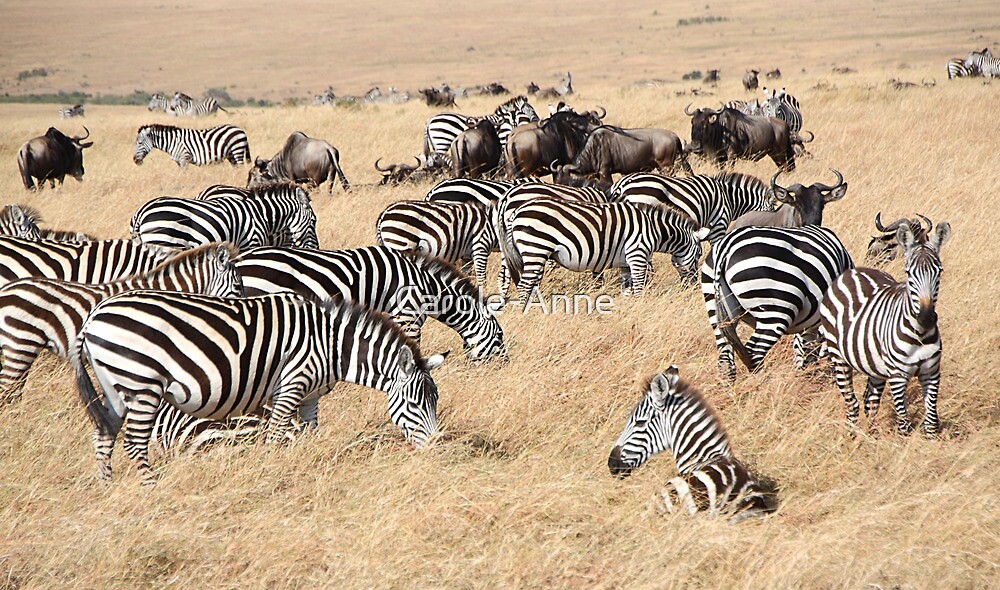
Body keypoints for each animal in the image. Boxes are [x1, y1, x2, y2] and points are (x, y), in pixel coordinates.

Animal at [72, 291, 446, 481]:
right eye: (414, 405)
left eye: (435, 403)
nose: (435, 451)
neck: (331, 345)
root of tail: (94, 315)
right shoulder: (291, 384)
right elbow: (277, 436)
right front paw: (273, 474)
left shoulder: (310, 396)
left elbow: (307, 435)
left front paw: (307, 467)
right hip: (142, 384)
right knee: (135, 443)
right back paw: (150, 488)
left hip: (115, 386)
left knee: (103, 436)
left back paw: (108, 488)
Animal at [131, 182, 318, 251]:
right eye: (313, 222)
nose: (317, 248)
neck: (262, 215)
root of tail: (141, 213)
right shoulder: (251, 243)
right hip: (165, 241)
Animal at [505, 197, 705, 301]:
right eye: (699, 255)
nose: (695, 286)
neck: (654, 229)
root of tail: (518, 210)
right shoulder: (637, 255)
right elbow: (639, 287)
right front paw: (640, 306)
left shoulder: (626, 263)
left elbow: (627, 289)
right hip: (536, 249)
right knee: (524, 286)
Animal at [701, 225, 854, 381]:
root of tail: (725, 247)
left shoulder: (809, 327)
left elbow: (805, 351)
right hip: (775, 309)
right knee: (754, 353)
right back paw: (760, 383)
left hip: (715, 305)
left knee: (725, 359)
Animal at [820, 221, 952, 437]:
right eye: (908, 273)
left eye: (939, 271)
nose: (926, 318)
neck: (919, 335)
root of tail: (853, 271)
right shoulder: (898, 376)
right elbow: (904, 426)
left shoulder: (932, 374)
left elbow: (932, 423)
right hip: (838, 356)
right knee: (851, 402)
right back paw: (851, 435)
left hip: (874, 365)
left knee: (870, 402)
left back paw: (870, 434)